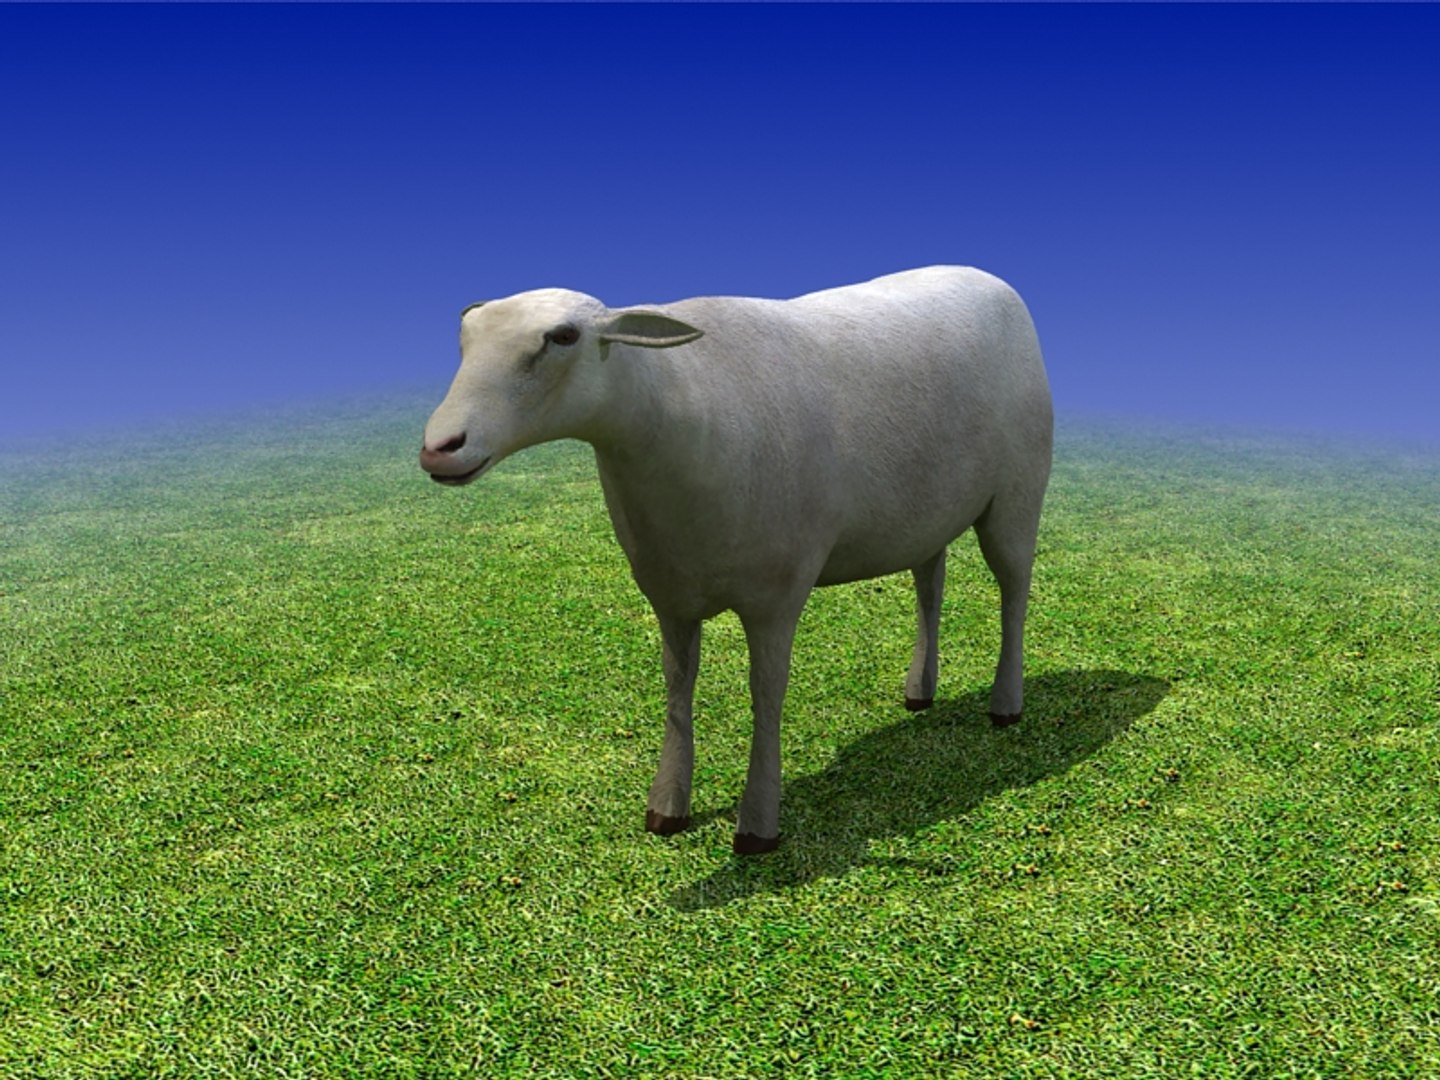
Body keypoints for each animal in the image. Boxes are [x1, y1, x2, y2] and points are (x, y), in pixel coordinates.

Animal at [420, 266, 1053, 854]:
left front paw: (758, 826)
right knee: (930, 584)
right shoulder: (670, 593)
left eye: (563, 336)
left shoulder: (777, 594)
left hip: (1016, 494)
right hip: (927, 511)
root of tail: (985, 276)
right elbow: (678, 687)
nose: (439, 447)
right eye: (466, 337)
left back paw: (1006, 705)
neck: (687, 409)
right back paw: (920, 691)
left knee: (1014, 591)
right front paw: (666, 809)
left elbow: (766, 694)